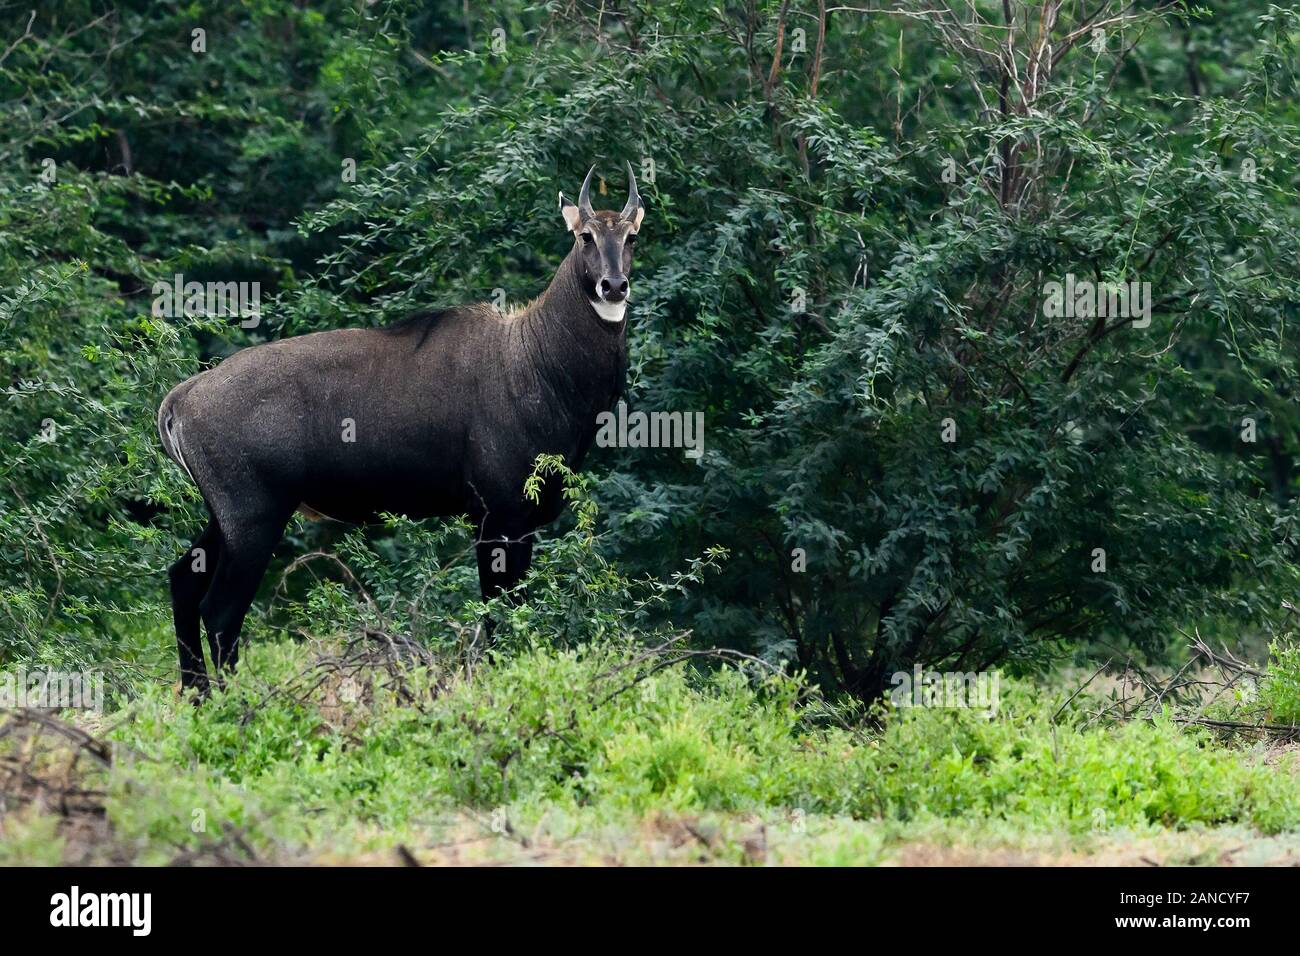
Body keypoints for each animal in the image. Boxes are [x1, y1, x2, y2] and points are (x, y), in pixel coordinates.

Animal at [158, 165, 644, 693]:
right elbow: (498, 611)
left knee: (183, 582)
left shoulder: (518, 521)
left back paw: (198, 697)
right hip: (254, 517)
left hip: (225, 515)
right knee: (220, 610)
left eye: (632, 236)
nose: (613, 286)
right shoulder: (499, 517)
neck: (536, 359)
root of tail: (180, 397)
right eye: (585, 236)